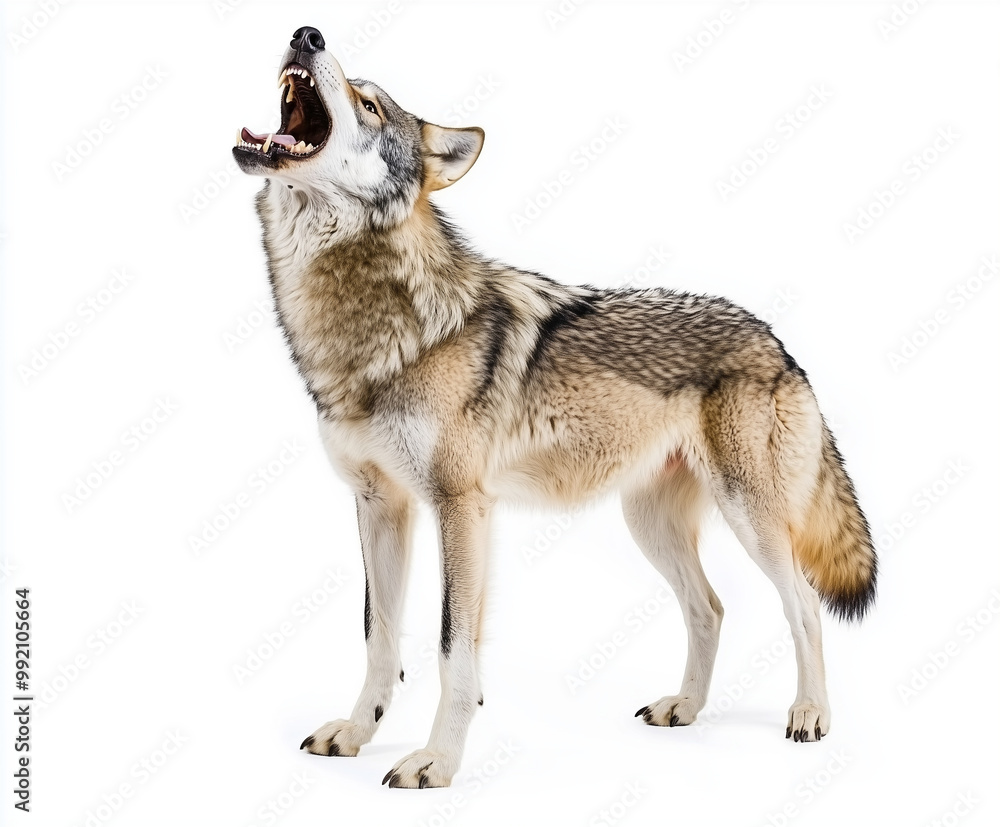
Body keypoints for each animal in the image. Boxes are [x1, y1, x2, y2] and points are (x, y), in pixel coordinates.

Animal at [233, 26, 877, 789]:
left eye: (369, 104)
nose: (307, 34)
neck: (372, 326)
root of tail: (776, 338)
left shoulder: (461, 508)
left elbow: (451, 649)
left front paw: (435, 762)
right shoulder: (378, 504)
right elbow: (378, 637)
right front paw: (358, 733)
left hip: (753, 519)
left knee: (802, 602)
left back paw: (810, 715)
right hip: (648, 523)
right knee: (711, 608)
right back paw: (685, 709)